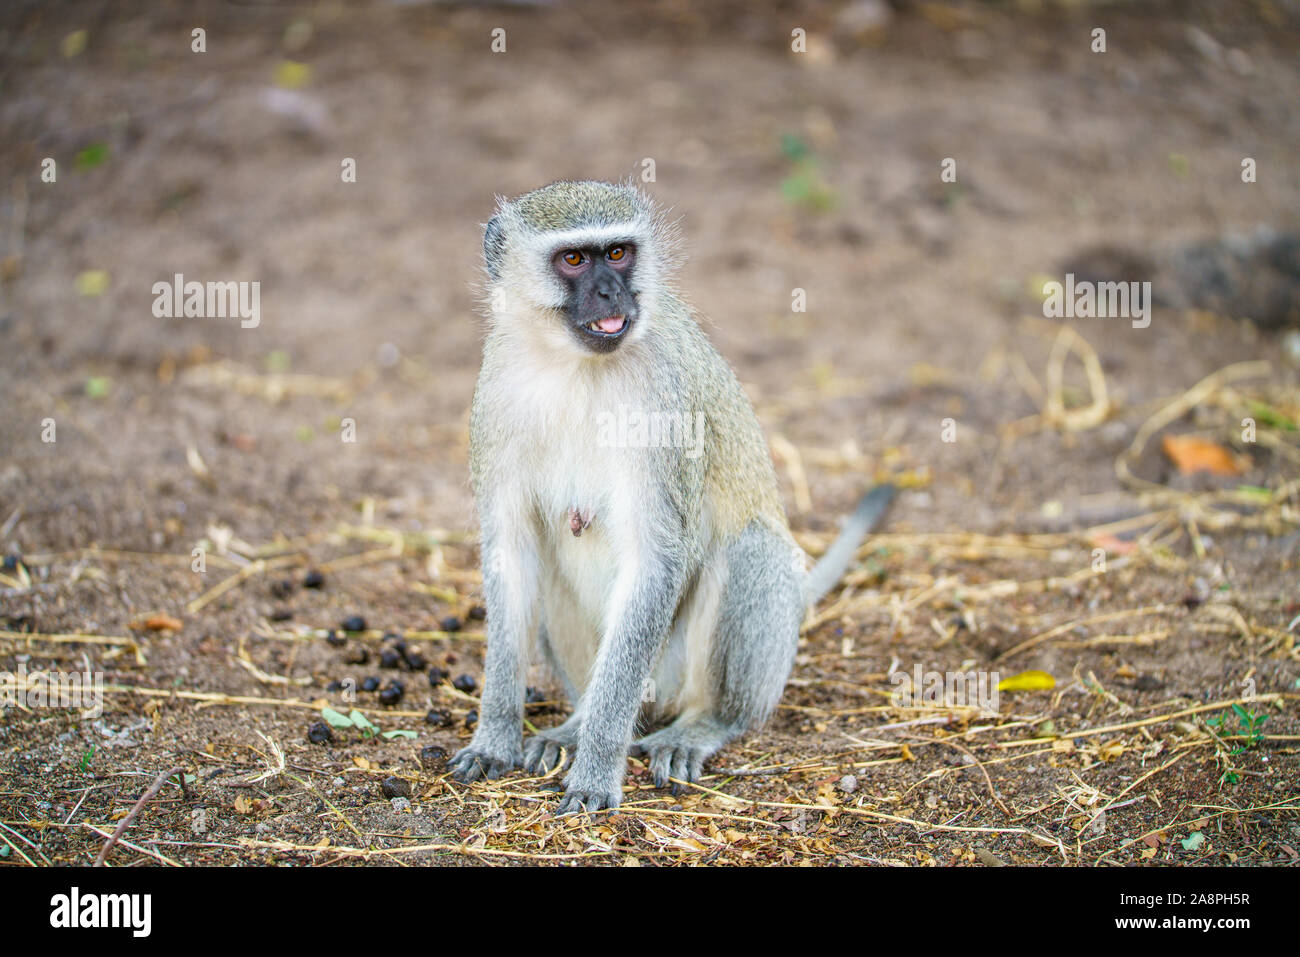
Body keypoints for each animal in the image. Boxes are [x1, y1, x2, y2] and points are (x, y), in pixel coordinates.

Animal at [448, 180, 894, 814]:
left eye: (617, 254)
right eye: (574, 259)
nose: (610, 291)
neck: (575, 366)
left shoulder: (665, 399)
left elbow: (655, 559)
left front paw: (596, 769)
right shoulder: (497, 394)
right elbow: (511, 552)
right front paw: (494, 735)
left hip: (679, 666)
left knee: (749, 552)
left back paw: (699, 725)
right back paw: (573, 726)